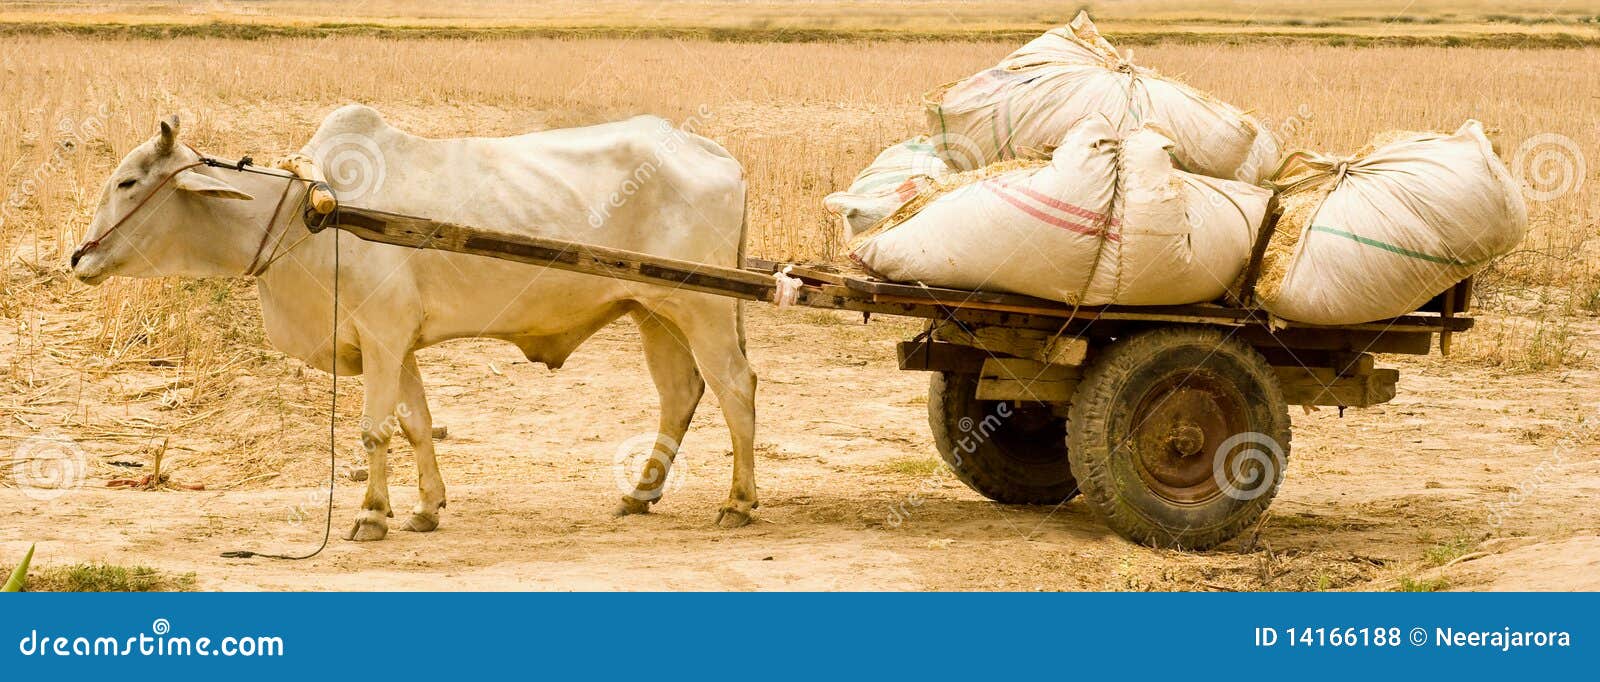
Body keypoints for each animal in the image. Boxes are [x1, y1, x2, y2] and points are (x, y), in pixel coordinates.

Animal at [70, 105, 758, 541]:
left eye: (128, 181)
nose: (78, 258)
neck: (305, 214)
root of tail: (718, 154)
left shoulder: (380, 337)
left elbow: (374, 431)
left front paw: (372, 516)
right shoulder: (397, 344)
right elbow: (416, 424)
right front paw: (427, 508)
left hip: (704, 310)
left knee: (735, 389)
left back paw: (738, 502)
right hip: (656, 313)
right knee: (681, 393)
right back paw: (639, 494)